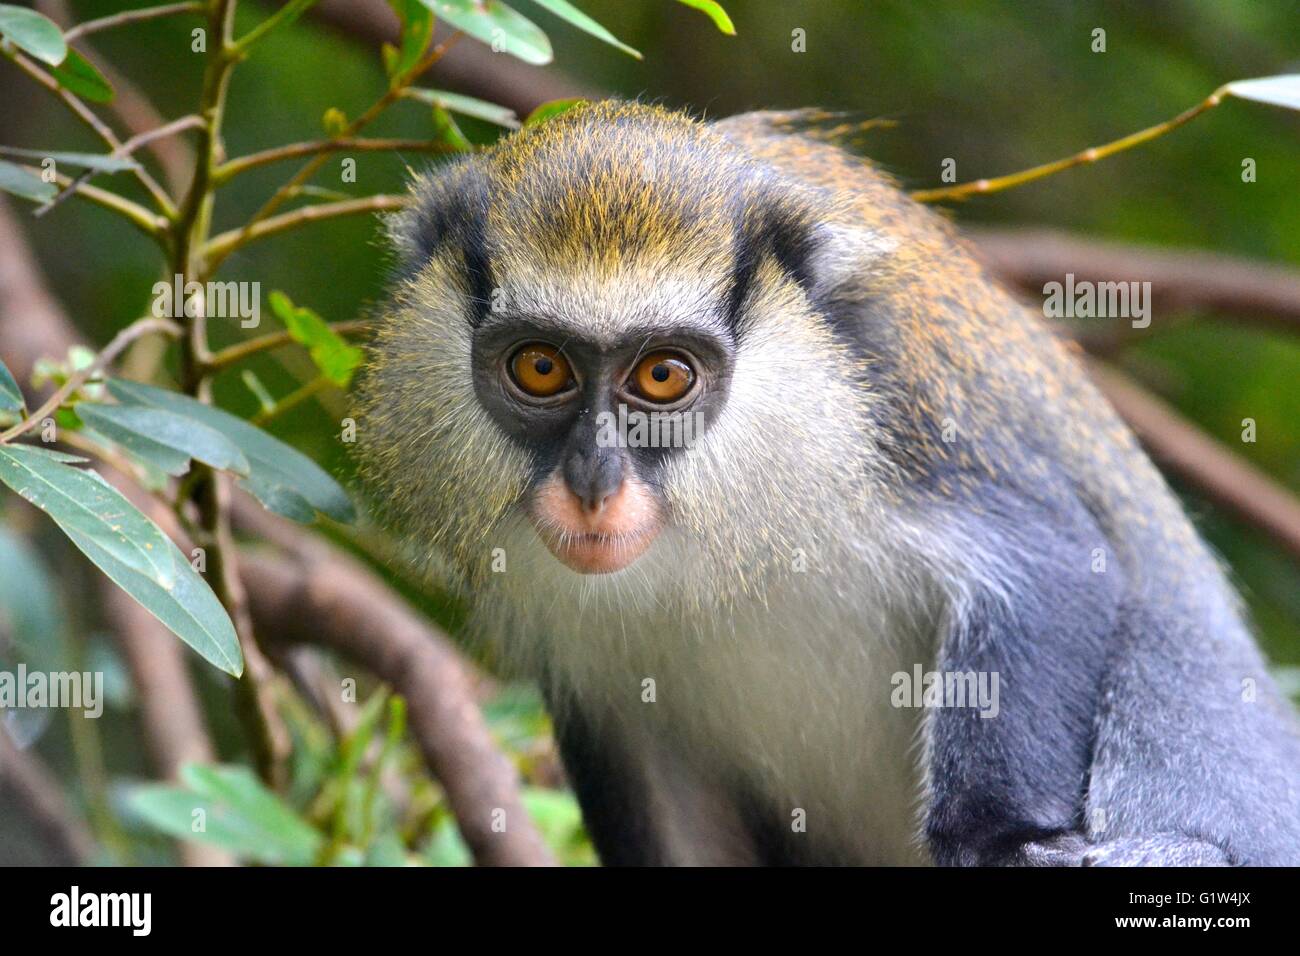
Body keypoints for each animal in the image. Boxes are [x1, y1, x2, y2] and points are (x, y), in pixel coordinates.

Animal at [354, 100, 1300, 866]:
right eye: (541, 367)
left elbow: (1053, 560)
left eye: (663, 377)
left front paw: (998, 838)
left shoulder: (905, 409)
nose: (593, 480)